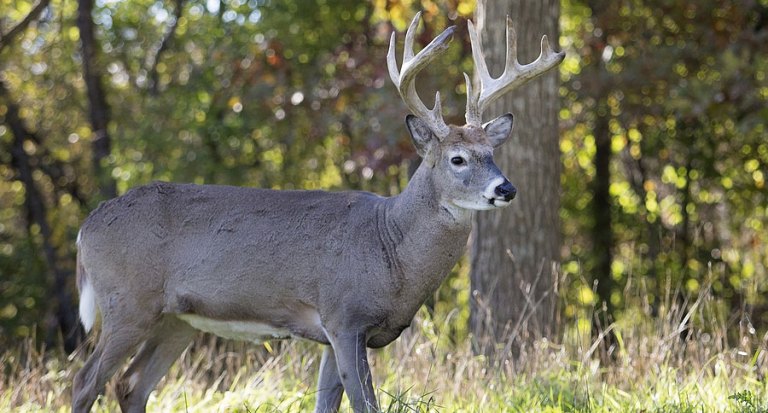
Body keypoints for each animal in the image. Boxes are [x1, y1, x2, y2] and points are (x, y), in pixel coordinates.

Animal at [71, 12, 564, 413]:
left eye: (492, 154)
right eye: (457, 159)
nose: (506, 188)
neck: (390, 249)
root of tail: (85, 227)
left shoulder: (331, 332)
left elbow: (326, 402)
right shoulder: (344, 316)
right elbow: (366, 404)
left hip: (176, 319)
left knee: (132, 384)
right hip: (127, 301)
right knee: (85, 381)